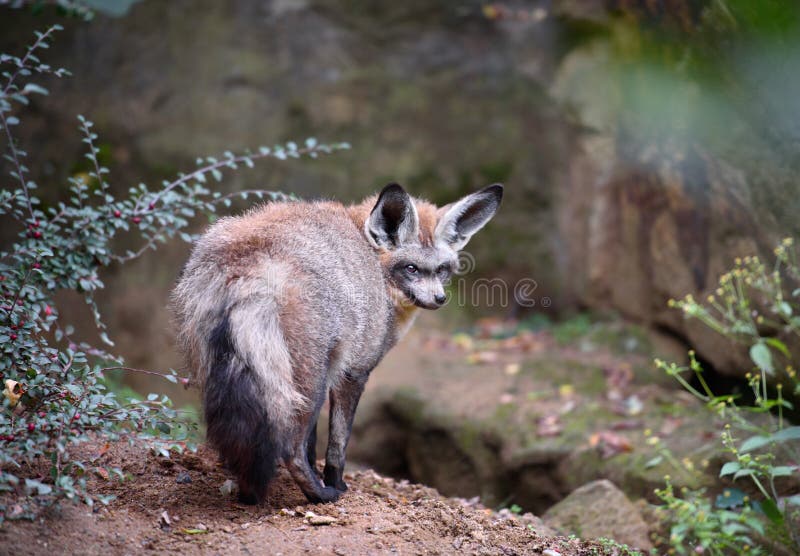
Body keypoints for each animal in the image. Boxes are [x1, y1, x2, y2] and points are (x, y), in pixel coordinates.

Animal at [171, 182, 502, 504]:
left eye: (442, 269)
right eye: (411, 268)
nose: (438, 299)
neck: (373, 261)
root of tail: (247, 260)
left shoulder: (332, 367)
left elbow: (313, 443)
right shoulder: (353, 372)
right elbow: (337, 443)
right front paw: (335, 482)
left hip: (222, 371)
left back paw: (248, 494)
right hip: (308, 383)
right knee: (289, 448)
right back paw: (319, 496)